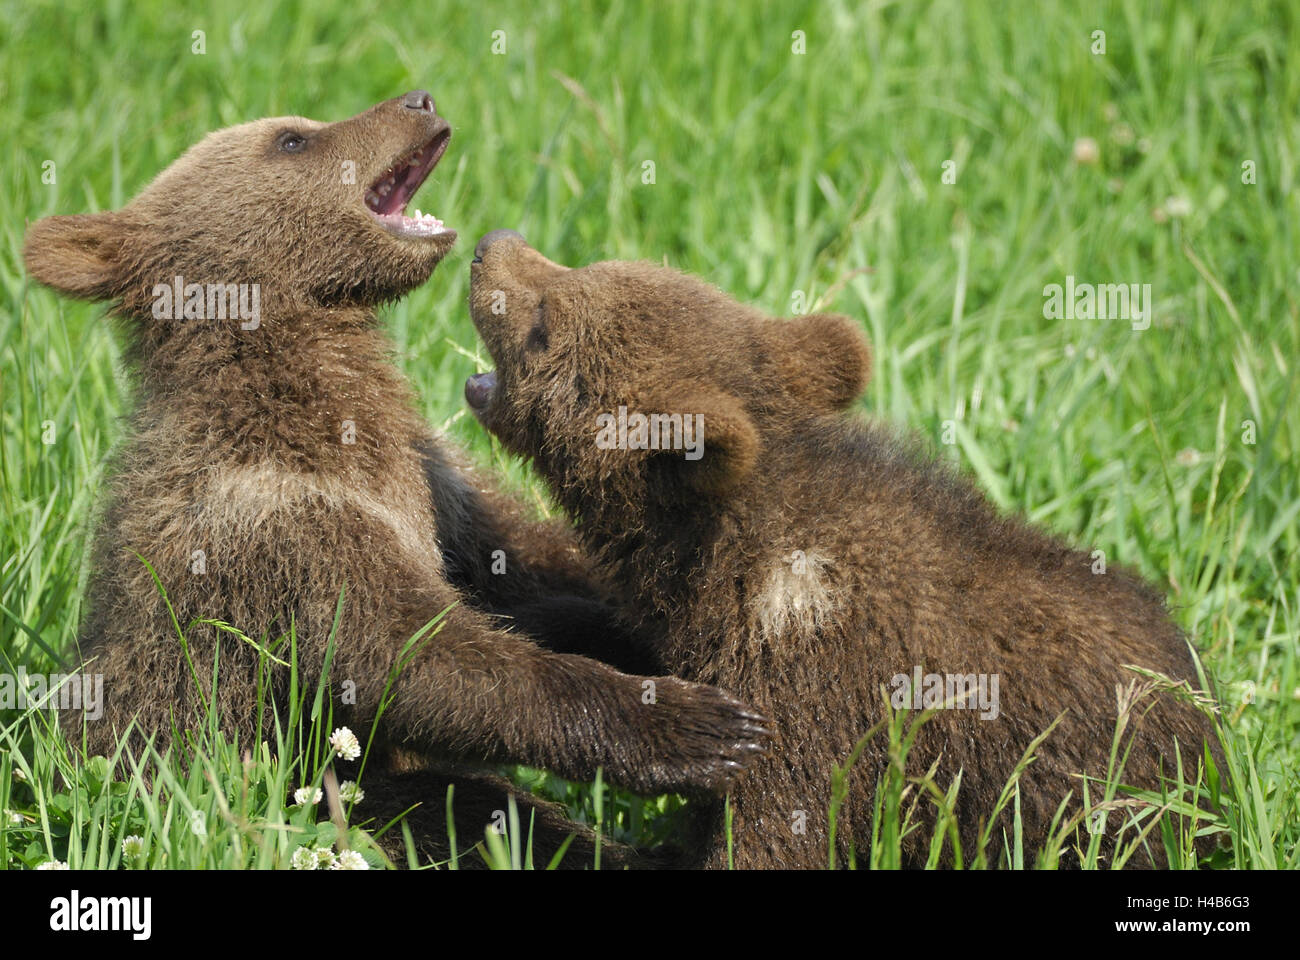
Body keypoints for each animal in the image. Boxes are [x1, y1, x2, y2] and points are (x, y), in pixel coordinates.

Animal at [21, 94, 769, 868]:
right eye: (292, 139)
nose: (419, 100)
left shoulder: (428, 480)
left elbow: (517, 564)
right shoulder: (279, 530)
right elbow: (419, 660)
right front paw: (692, 726)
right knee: (459, 809)